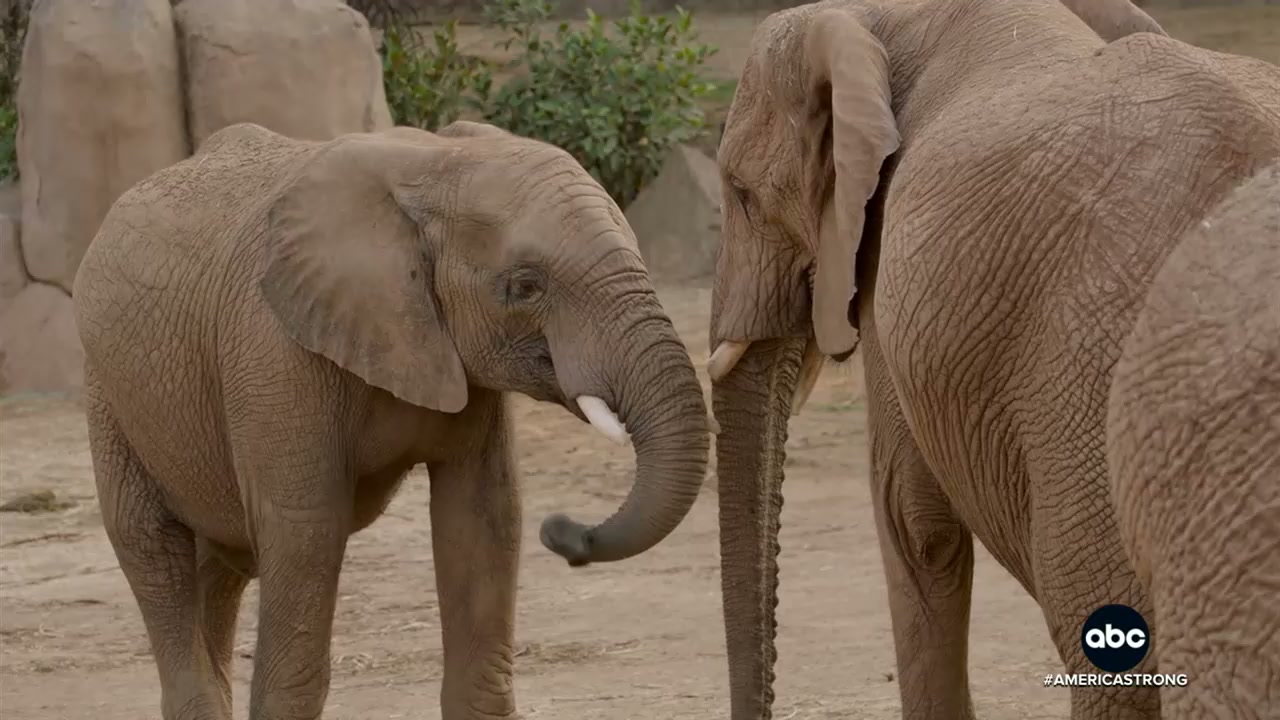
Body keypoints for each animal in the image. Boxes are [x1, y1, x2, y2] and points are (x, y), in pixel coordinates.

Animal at [71, 120, 710, 720]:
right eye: (525, 285)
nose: (565, 532)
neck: (433, 166)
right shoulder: (274, 351)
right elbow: (305, 529)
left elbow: (482, 516)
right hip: (106, 390)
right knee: (153, 546)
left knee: (221, 561)